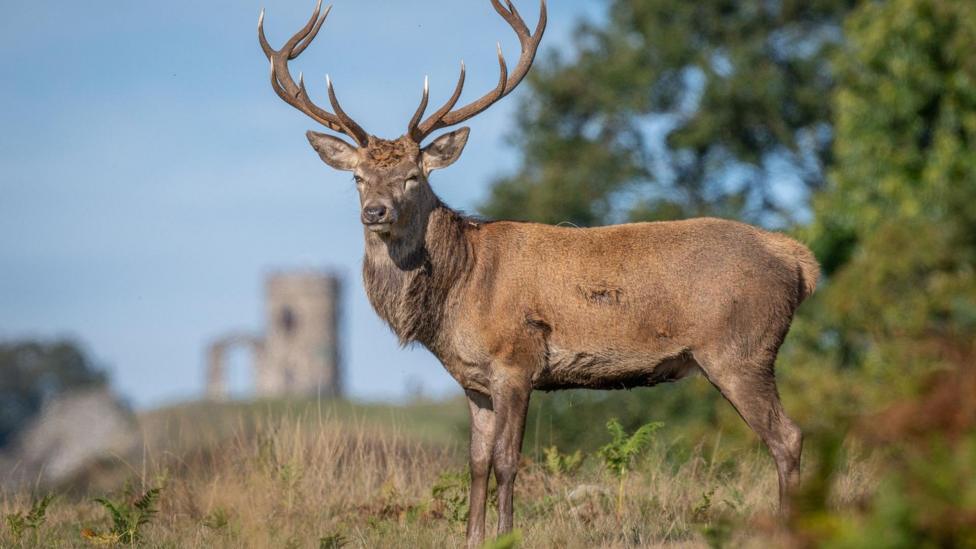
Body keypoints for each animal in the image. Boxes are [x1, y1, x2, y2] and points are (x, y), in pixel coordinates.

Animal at [258, 1, 820, 546]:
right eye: (357, 177)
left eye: (412, 176)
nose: (374, 211)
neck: (456, 294)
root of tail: (798, 259)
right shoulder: (473, 380)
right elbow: (476, 463)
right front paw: (472, 538)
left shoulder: (517, 361)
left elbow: (508, 461)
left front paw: (507, 534)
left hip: (741, 350)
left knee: (788, 436)